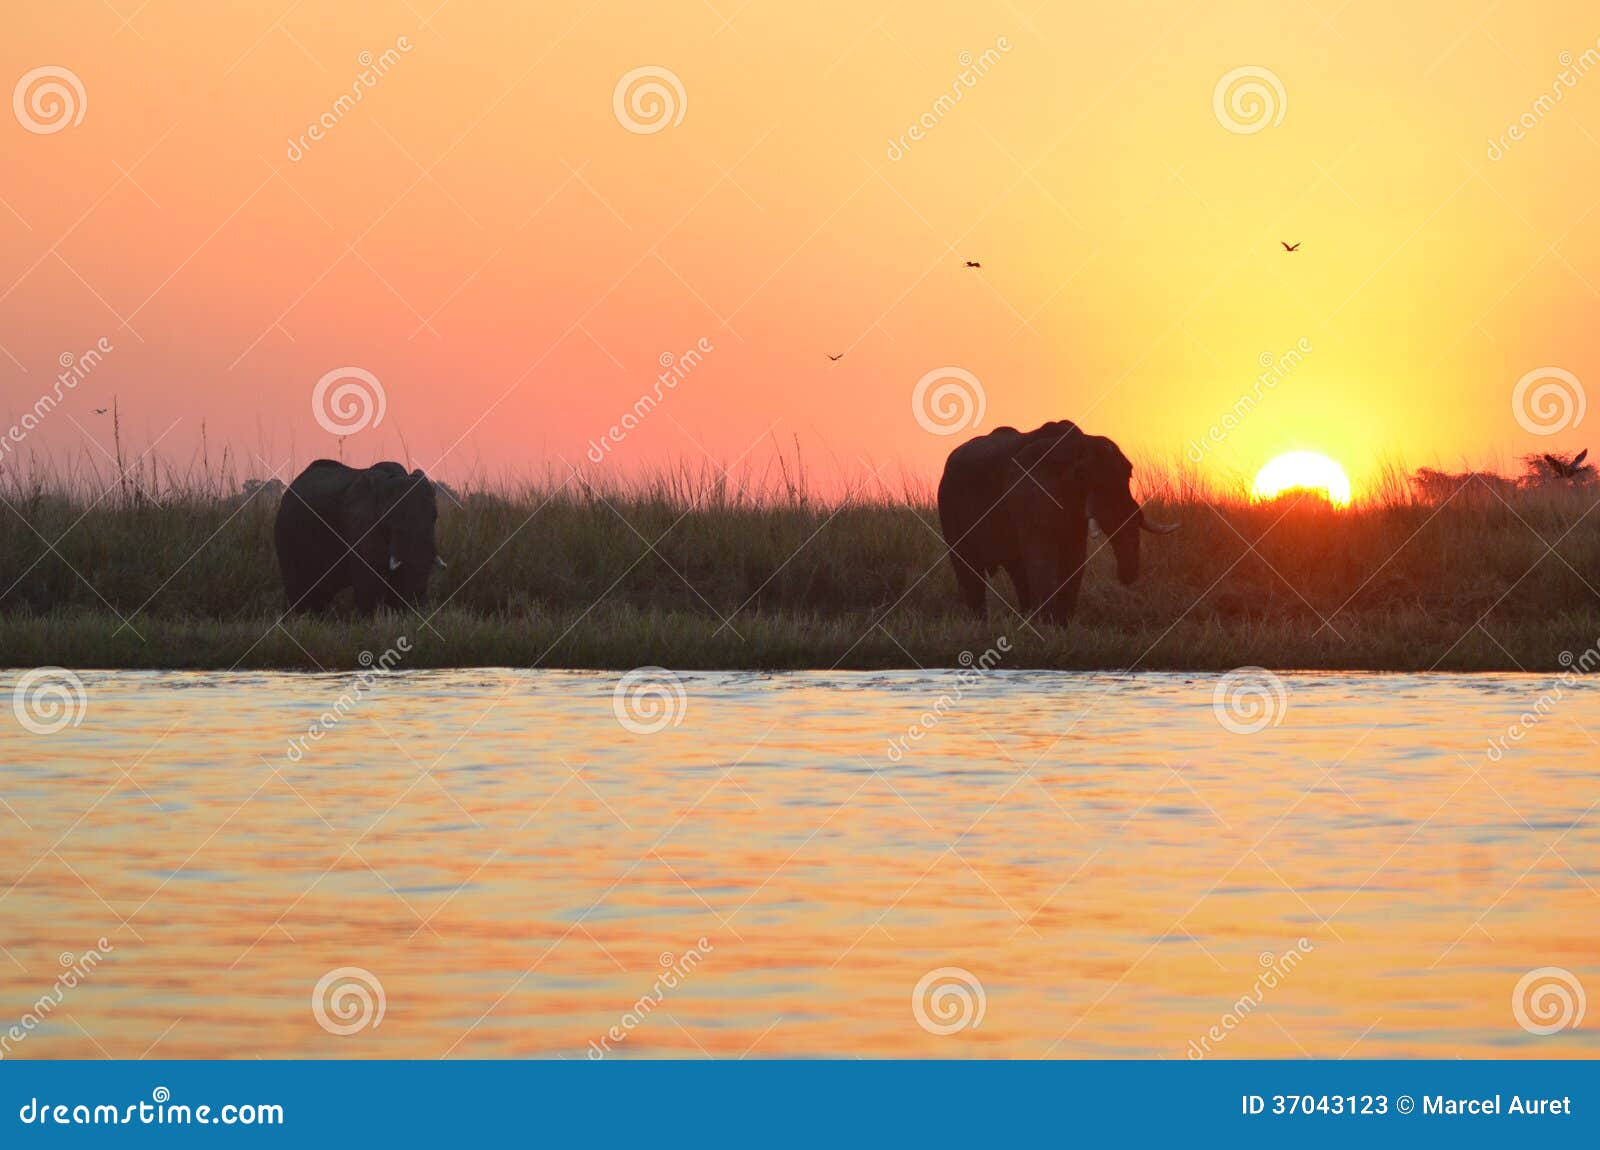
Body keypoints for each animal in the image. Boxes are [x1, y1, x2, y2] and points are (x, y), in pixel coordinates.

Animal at [274, 460, 444, 614]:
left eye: (435, 517)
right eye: (389, 519)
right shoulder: (359, 526)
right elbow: (367, 582)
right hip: (286, 532)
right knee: (297, 588)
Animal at [936, 421, 1176, 625]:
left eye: (1129, 476)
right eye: (1083, 476)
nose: (1125, 580)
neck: (1074, 447)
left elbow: (1075, 556)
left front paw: (1061, 625)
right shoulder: (1031, 493)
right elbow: (1043, 556)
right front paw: (1049, 625)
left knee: (1017, 567)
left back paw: (1027, 618)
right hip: (948, 504)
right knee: (968, 567)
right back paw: (982, 622)